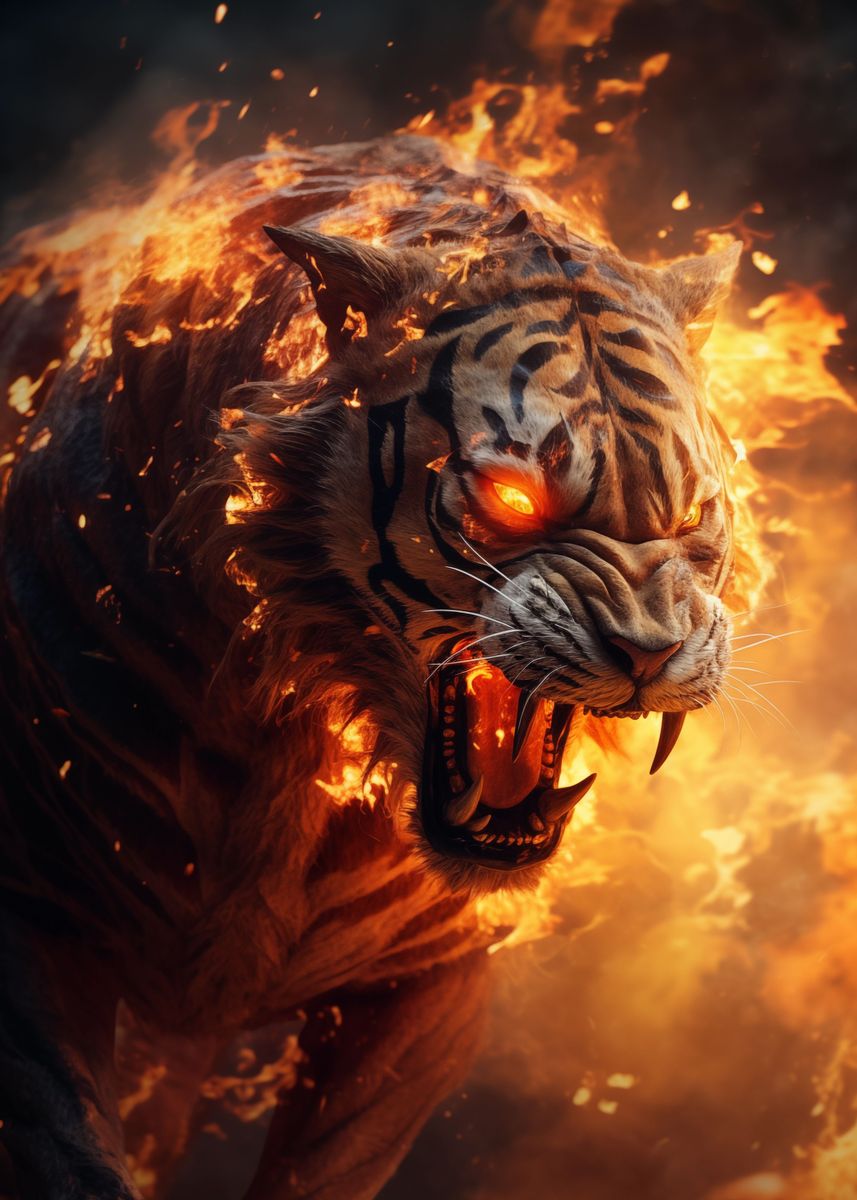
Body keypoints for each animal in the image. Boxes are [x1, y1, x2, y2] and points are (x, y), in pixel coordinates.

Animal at [0, 134, 739, 1199]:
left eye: (691, 517)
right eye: (513, 501)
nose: (648, 651)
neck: (293, 734)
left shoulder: (425, 982)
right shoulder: (35, 912)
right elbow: (69, 1155)